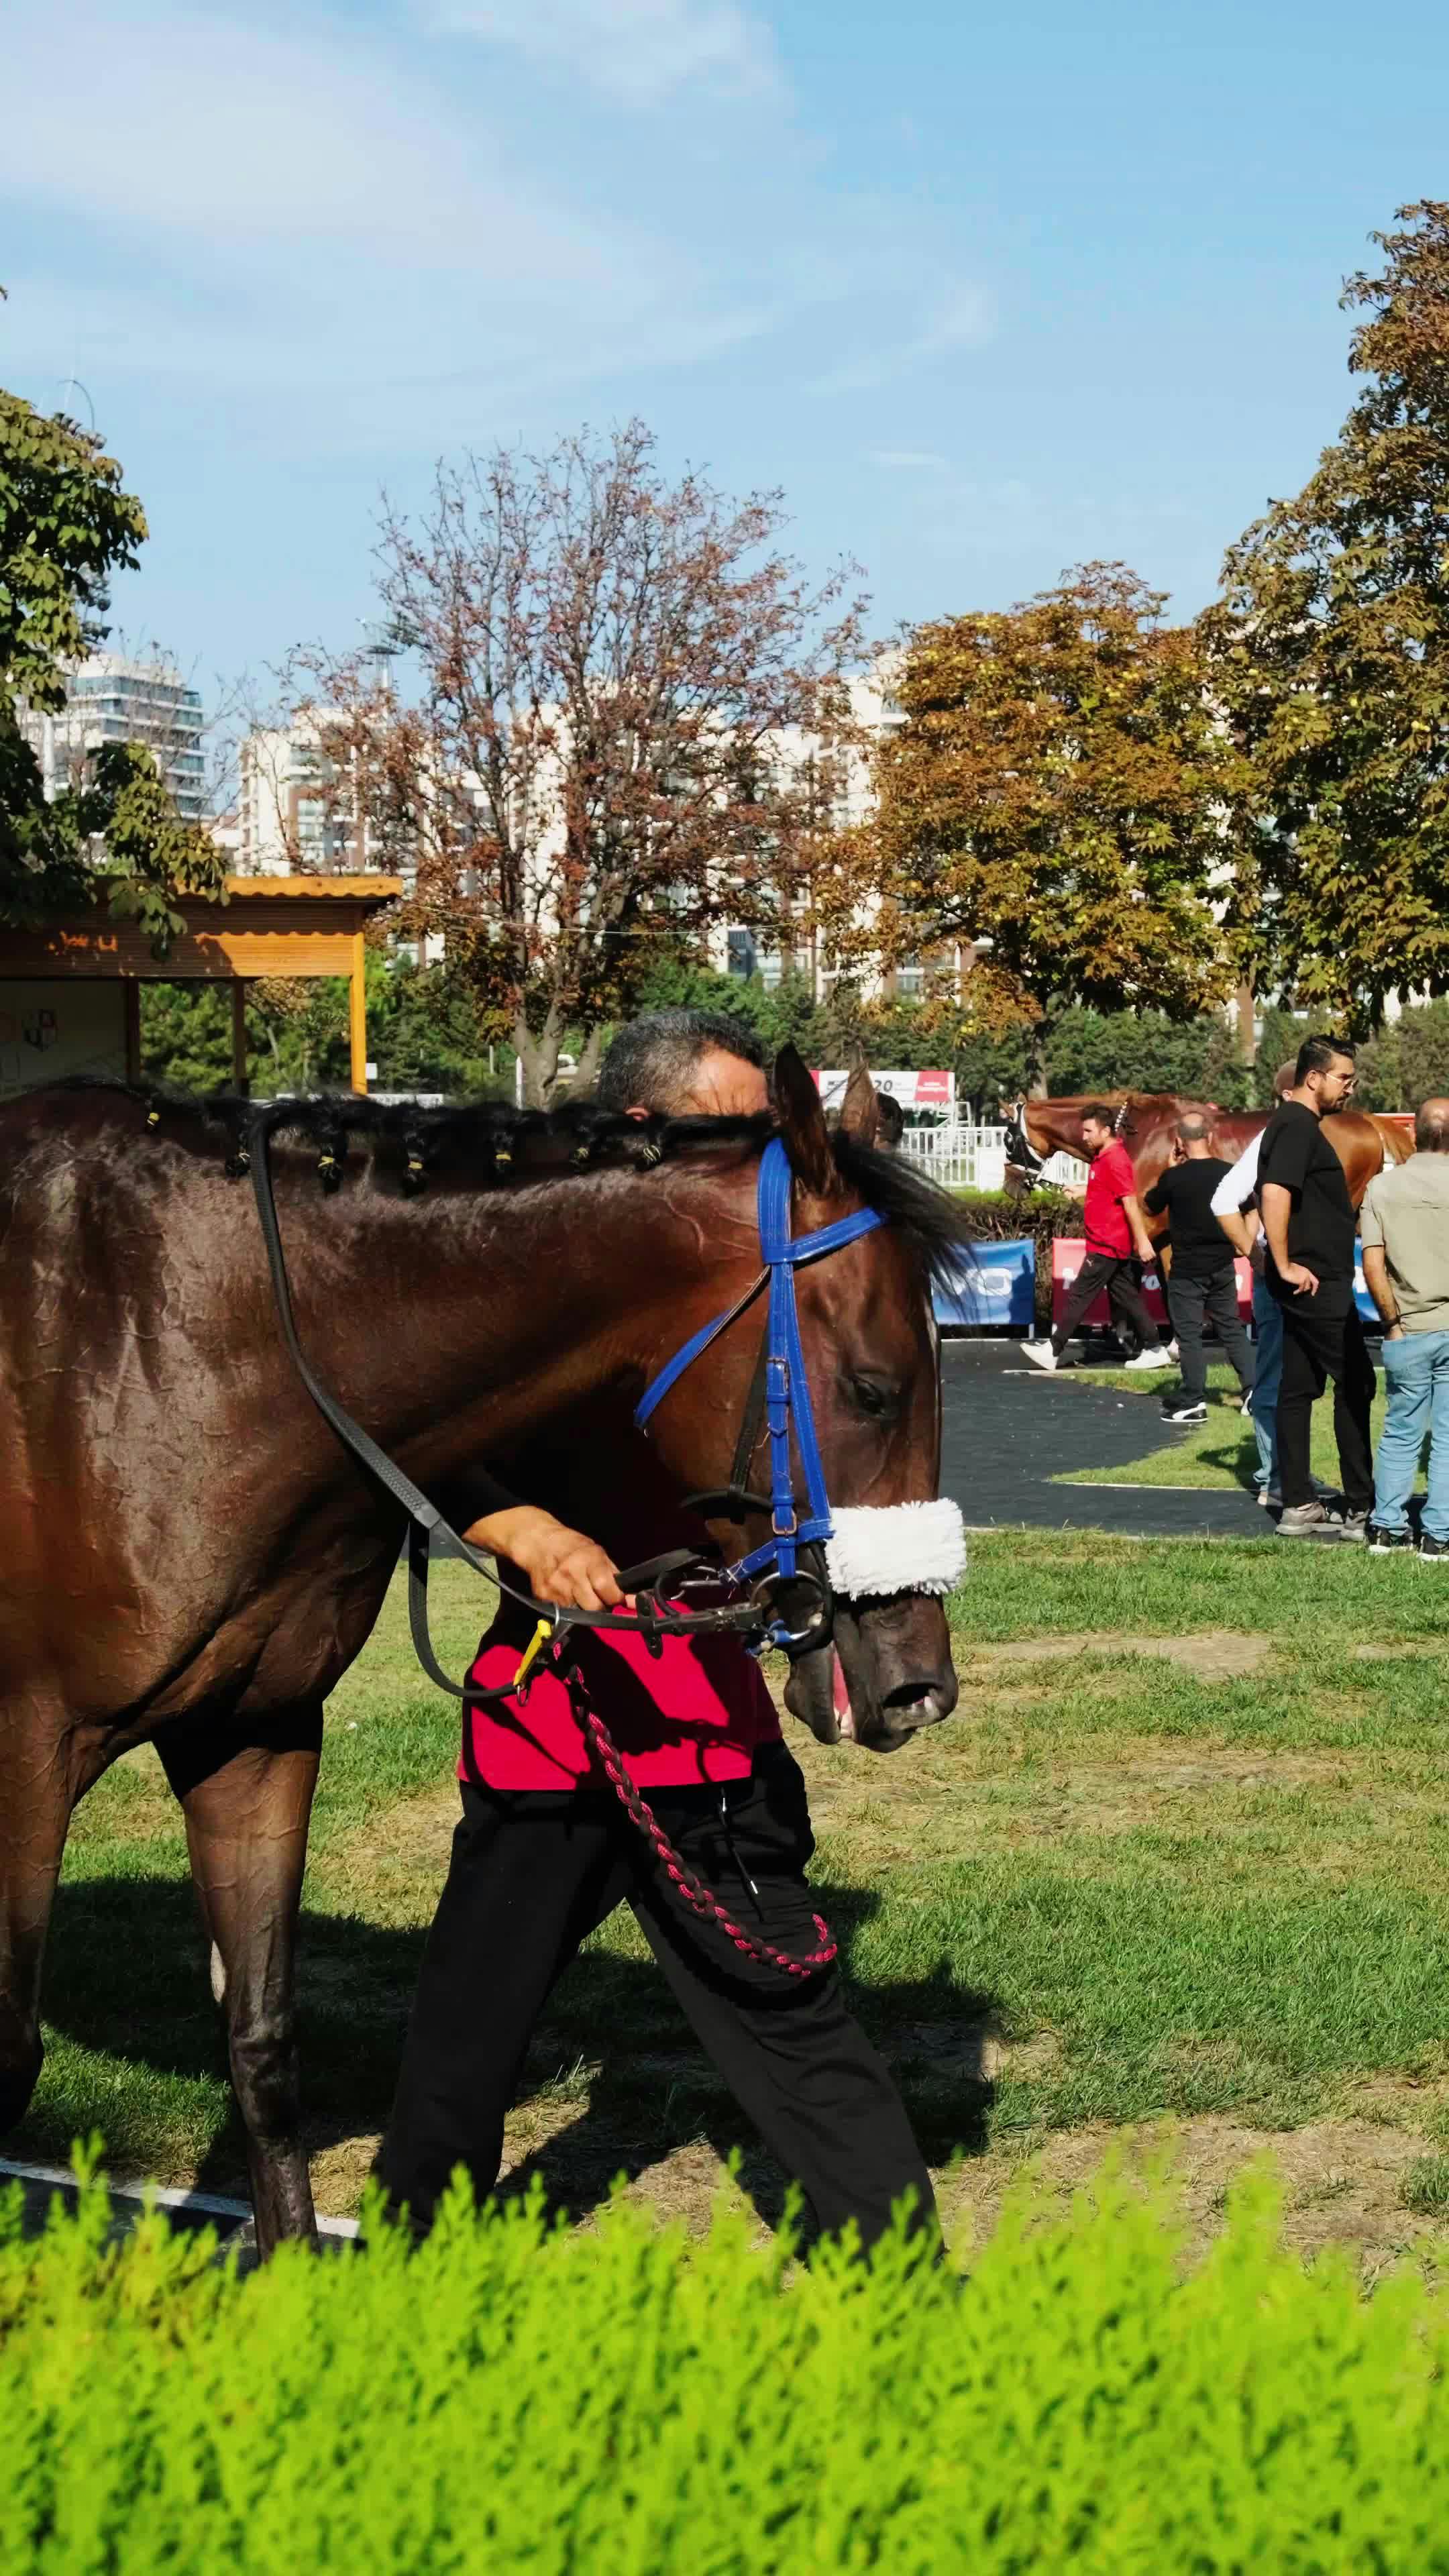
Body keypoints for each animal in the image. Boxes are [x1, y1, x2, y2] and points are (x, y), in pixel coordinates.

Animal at [0, 1049, 967, 2253]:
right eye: (876, 1389)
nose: (918, 1684)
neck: (182, 1343)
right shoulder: (28, 1754)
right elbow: (12, 2056)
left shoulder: (252, 1734)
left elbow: (262, 2041)